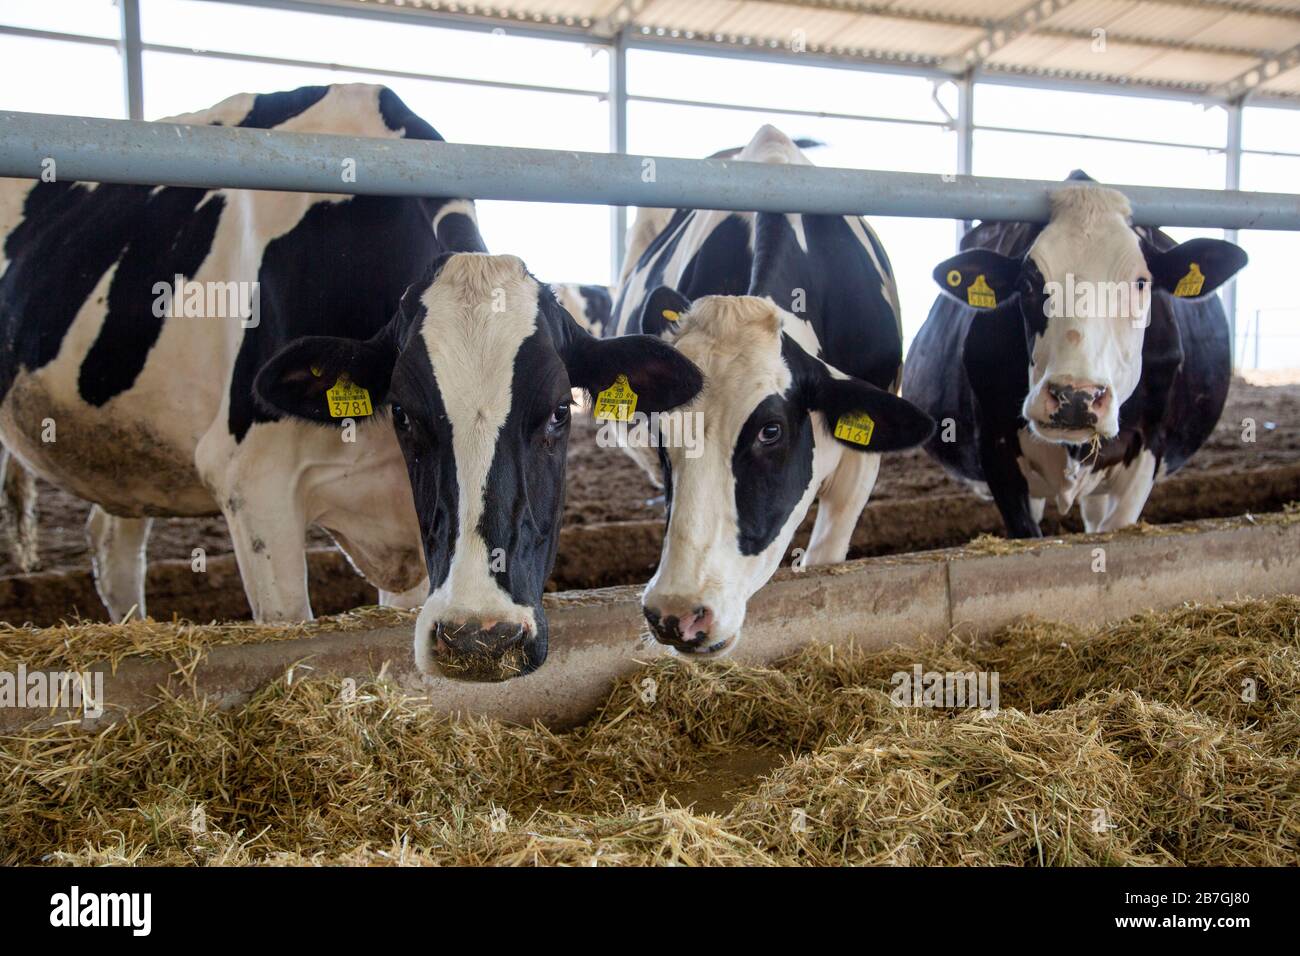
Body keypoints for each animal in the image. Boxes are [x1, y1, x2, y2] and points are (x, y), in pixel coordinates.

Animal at [902, 171, 1247, 538]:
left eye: (1141, 283)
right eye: (1027, 283)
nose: (1076, 397)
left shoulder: (1151, 443)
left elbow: (1117, 525)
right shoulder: (995, 446)